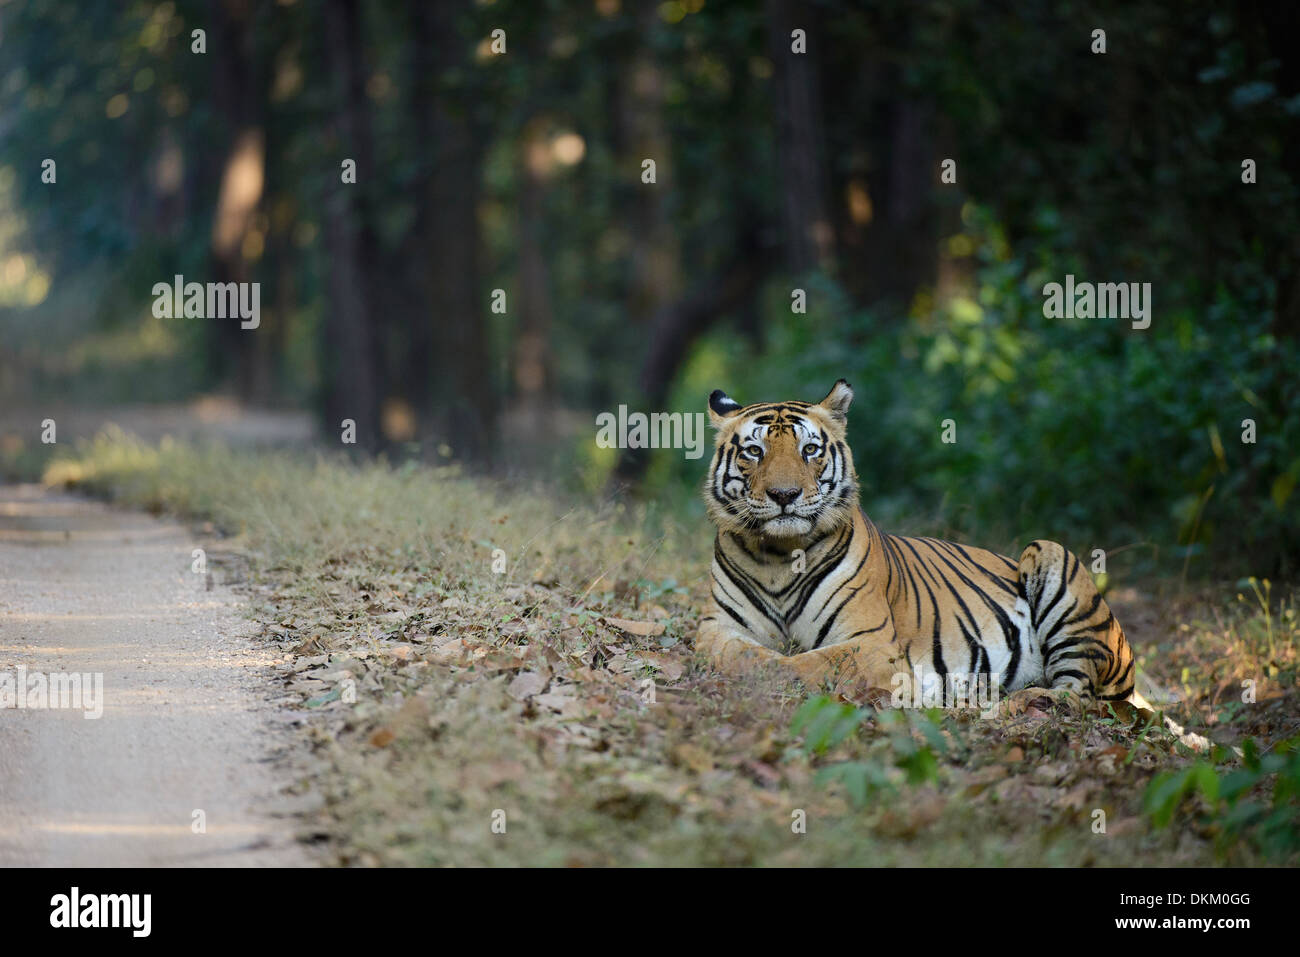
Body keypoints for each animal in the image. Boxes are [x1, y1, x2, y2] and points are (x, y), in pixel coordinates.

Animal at [696, 378, 1187, 729]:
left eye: (810, 450)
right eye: (754, 451)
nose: (784, 496)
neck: (781, 556)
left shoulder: (871, 641)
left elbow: (809, 662)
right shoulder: (715, 627)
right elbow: (743, 654)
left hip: (1052, 559)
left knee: (1076, 694)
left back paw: (1004, 705)